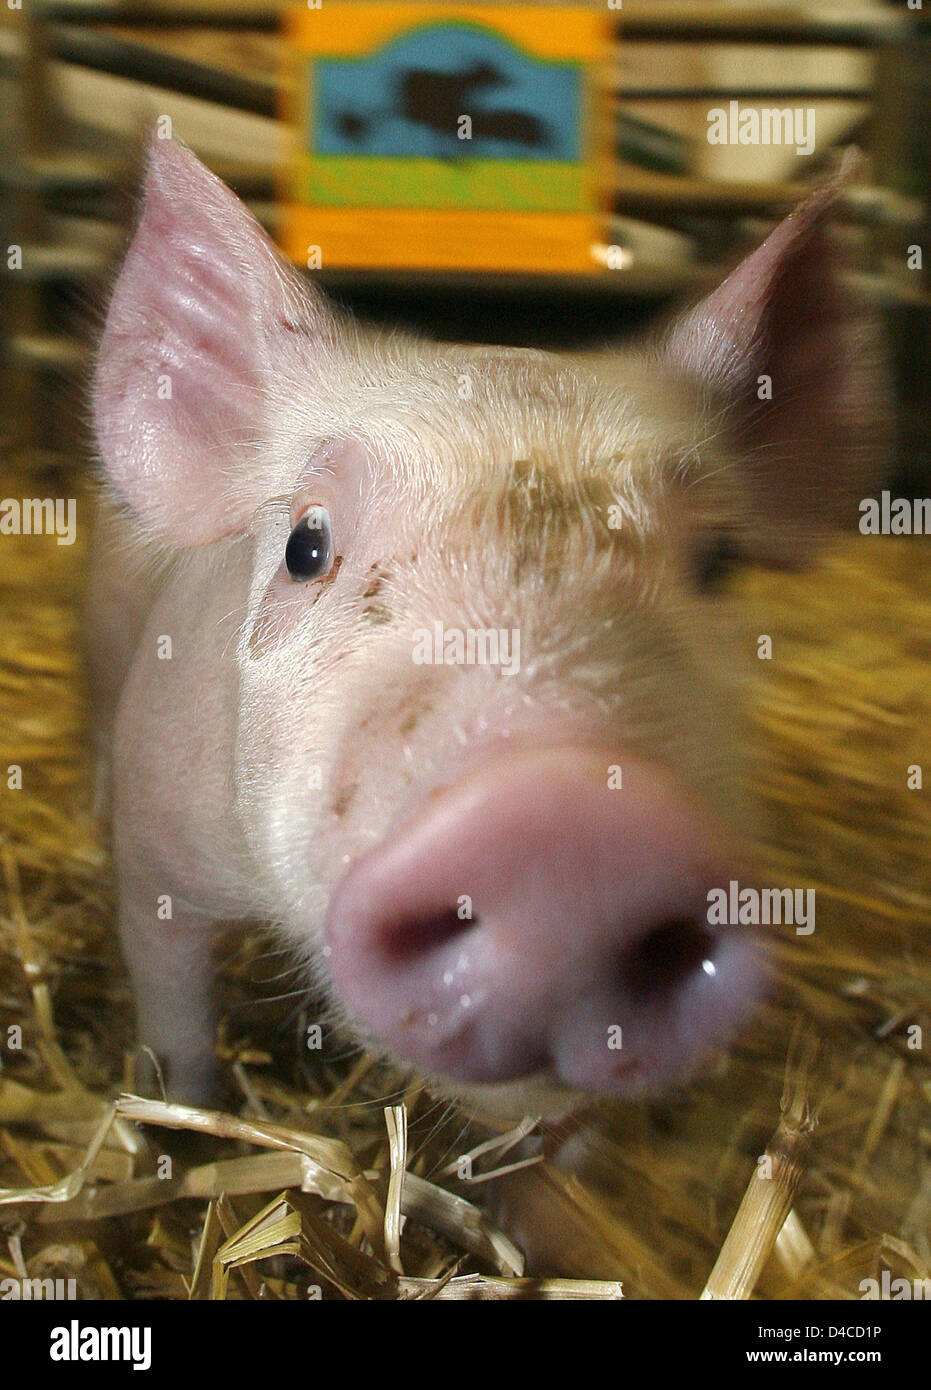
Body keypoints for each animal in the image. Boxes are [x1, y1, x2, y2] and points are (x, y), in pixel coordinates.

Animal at [89, 136, 883, 1124]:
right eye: (307, 546)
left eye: (718, 564)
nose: (569, 812)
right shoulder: (157, 838)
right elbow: (174, 1011)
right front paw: (183, 1121)